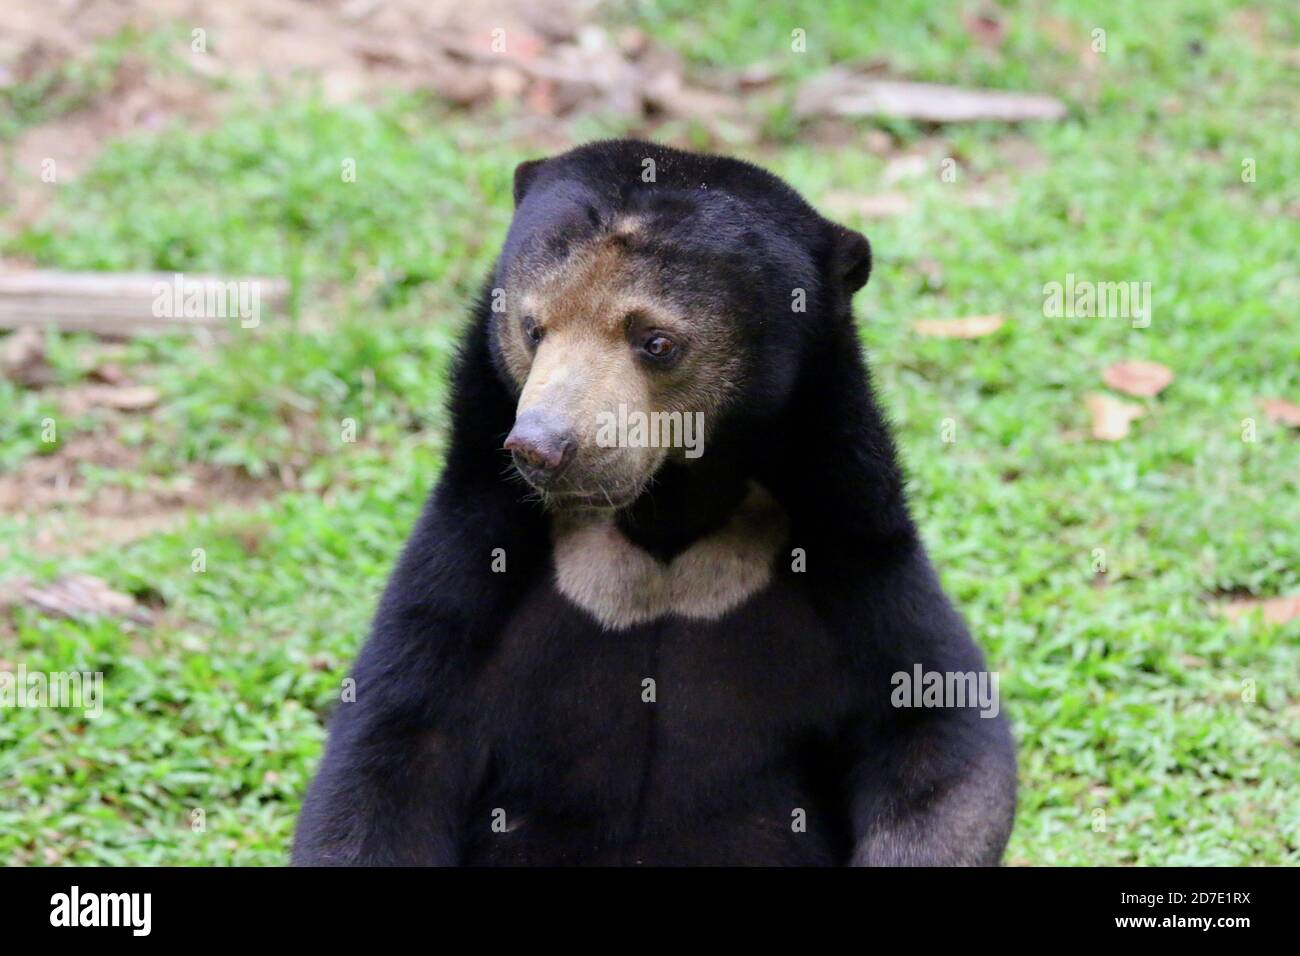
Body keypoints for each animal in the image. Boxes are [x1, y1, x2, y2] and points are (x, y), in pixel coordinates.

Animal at [292, 140, 1017, 866]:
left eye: (656, 342)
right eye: (533, 328)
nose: (542, 448)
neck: (666, 513)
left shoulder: (850, 538)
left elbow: (933, 723)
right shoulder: (473, 548)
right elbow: (392, 748)